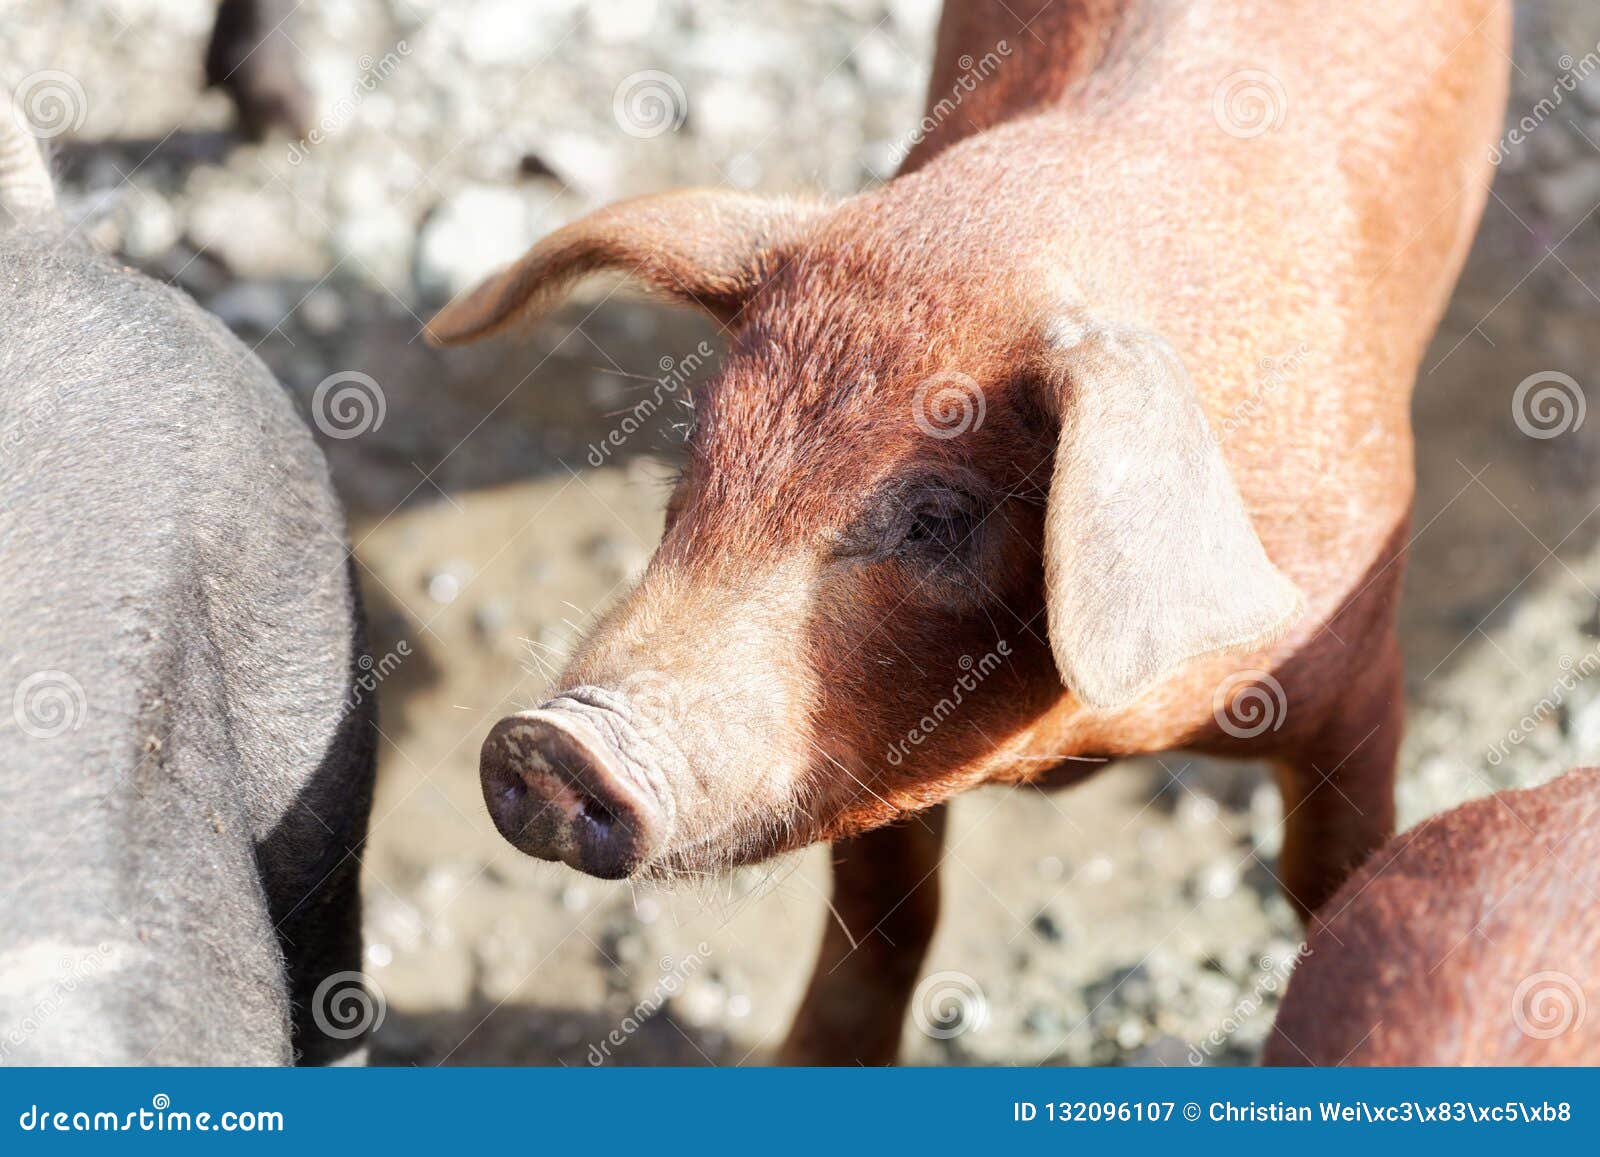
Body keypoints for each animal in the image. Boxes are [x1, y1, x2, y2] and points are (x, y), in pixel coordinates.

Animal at [426, 0, 1510, 1063]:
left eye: (937, 518)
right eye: (693, 464)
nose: (550, 742)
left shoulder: (1356, 667)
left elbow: (1334, 874)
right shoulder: (867, 752)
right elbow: (884, 911)